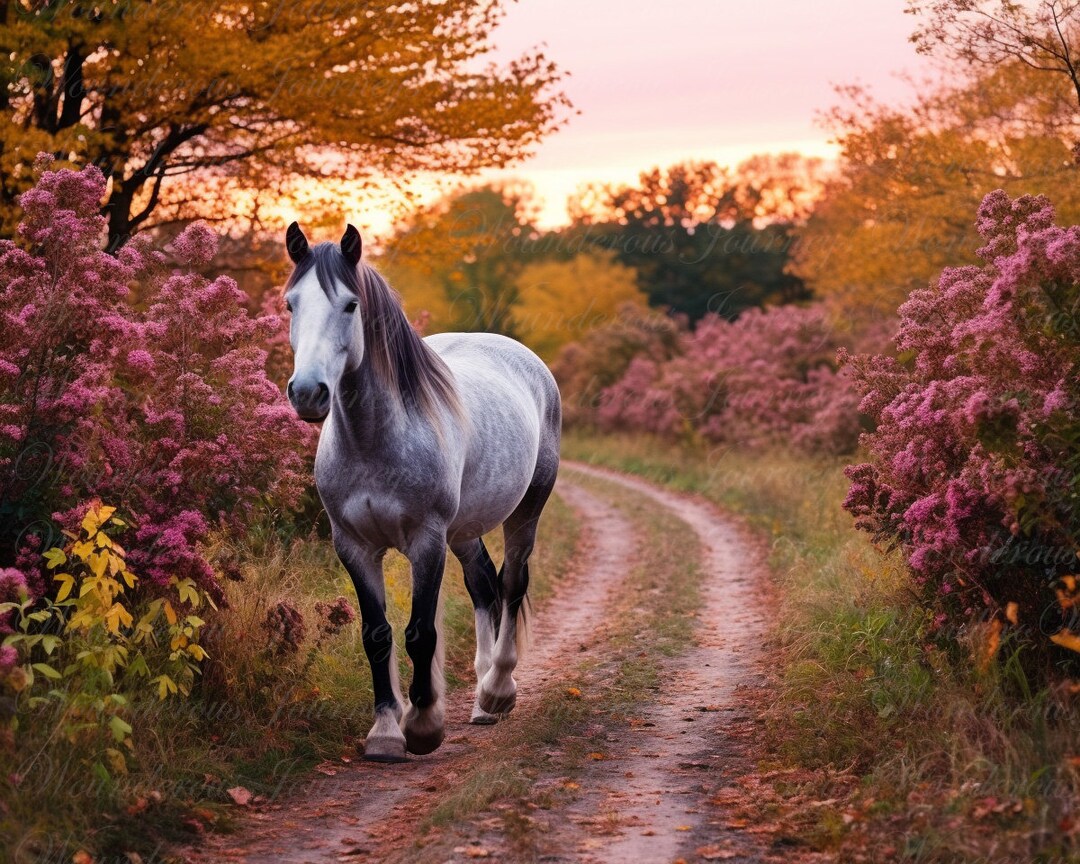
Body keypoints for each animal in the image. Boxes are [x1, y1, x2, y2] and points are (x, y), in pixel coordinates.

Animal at [282, 222, 561, 762]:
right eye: (290, 304)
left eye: (350, 305)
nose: (307, 393)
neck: (372, 443)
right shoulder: (354, 546)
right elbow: (376, 634)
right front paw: (386, 731)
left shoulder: (426, 542)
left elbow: (419, 633)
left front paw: (425, 725)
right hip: (465, 530)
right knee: (484, 584)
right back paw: (480, 699)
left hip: (526, 511)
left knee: (512, 582)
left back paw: (497, 690)